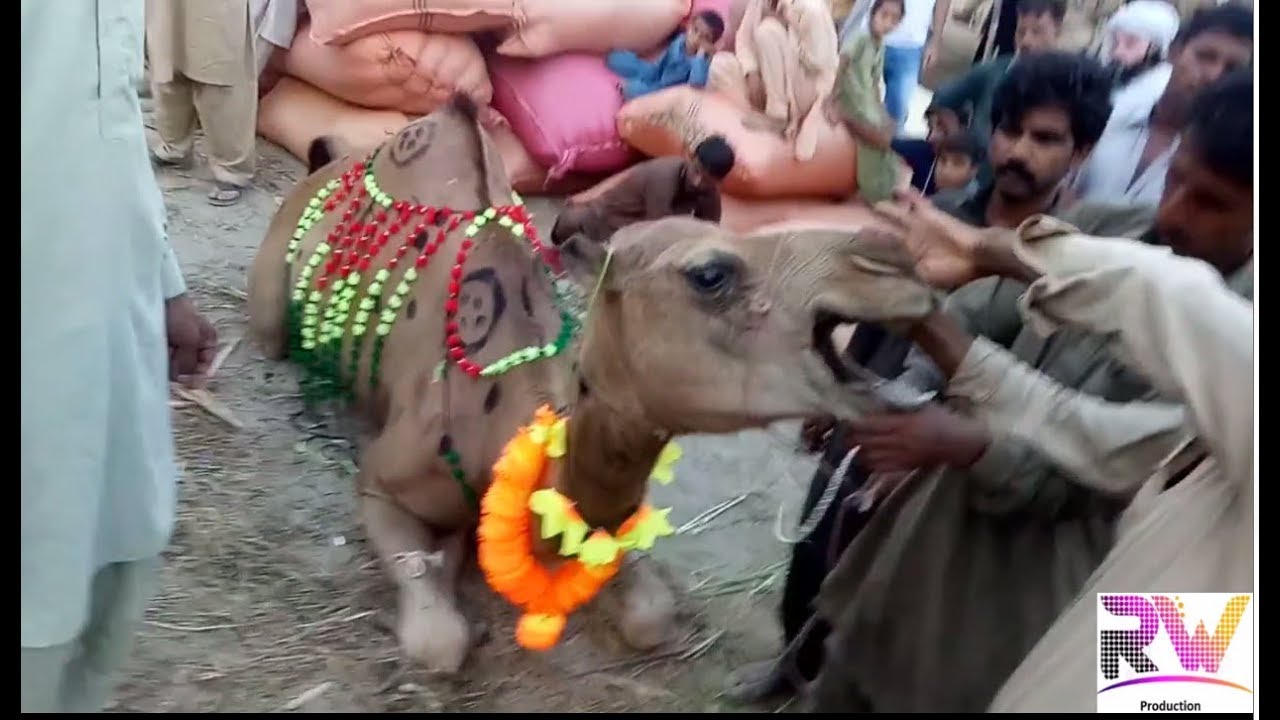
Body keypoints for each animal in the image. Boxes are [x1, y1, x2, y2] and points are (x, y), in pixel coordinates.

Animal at [246, 95, 939, 672]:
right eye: (710, 274)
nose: (895, 261)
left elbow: (651, 615)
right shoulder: (384, 483)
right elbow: (438, 641)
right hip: (270, 299)